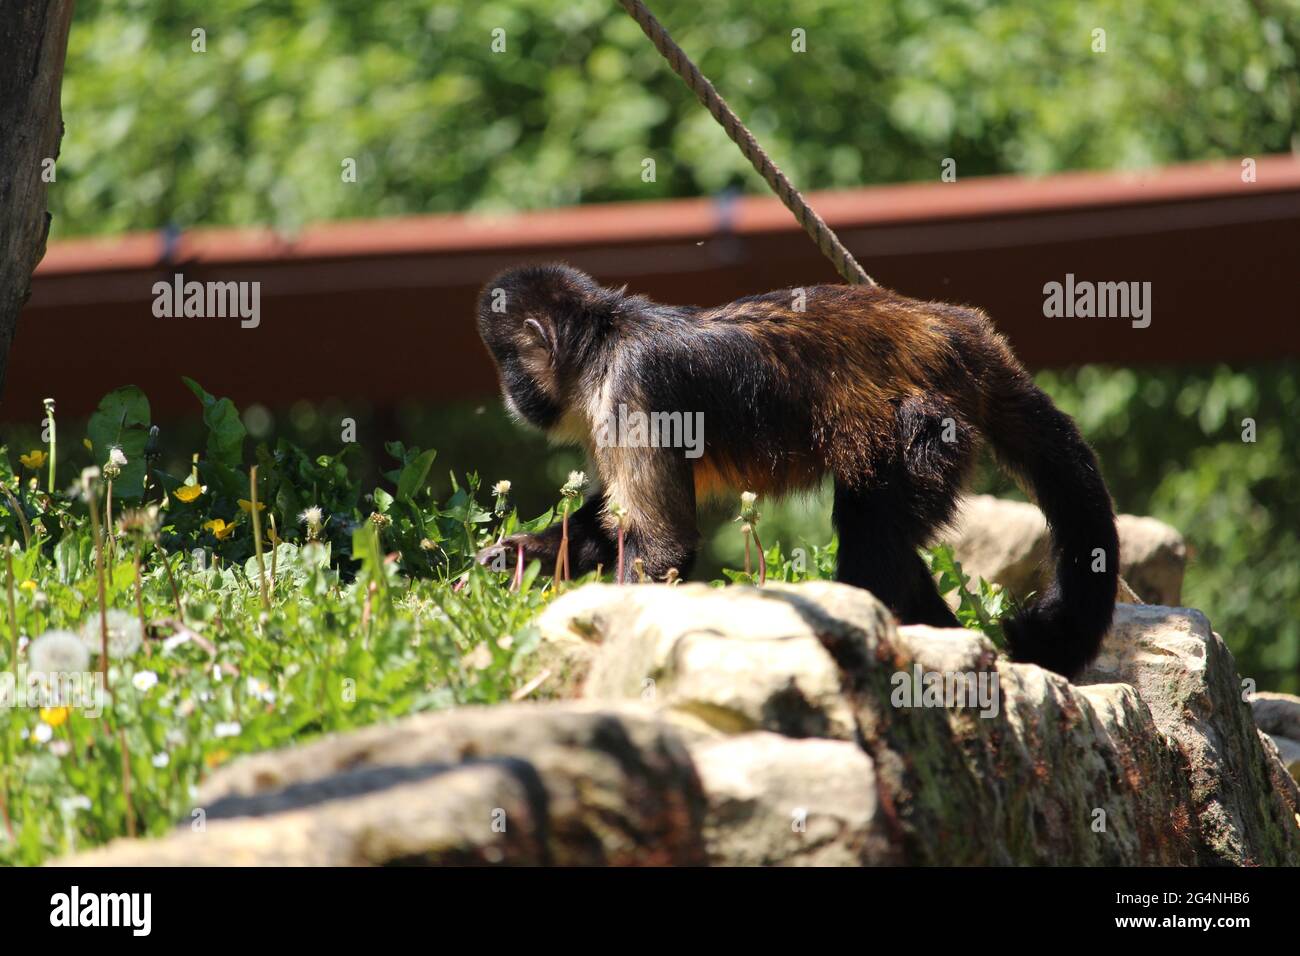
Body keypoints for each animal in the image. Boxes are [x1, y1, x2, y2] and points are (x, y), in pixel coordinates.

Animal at [475, 263, 1118, 679]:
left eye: (507, 362)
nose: (507, 392)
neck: (604, 343)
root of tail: (957, 331)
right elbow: (614, 527)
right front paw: (513, 556)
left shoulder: (633, 388)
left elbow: (661, 547)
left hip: (935, 425)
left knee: (872, 526)